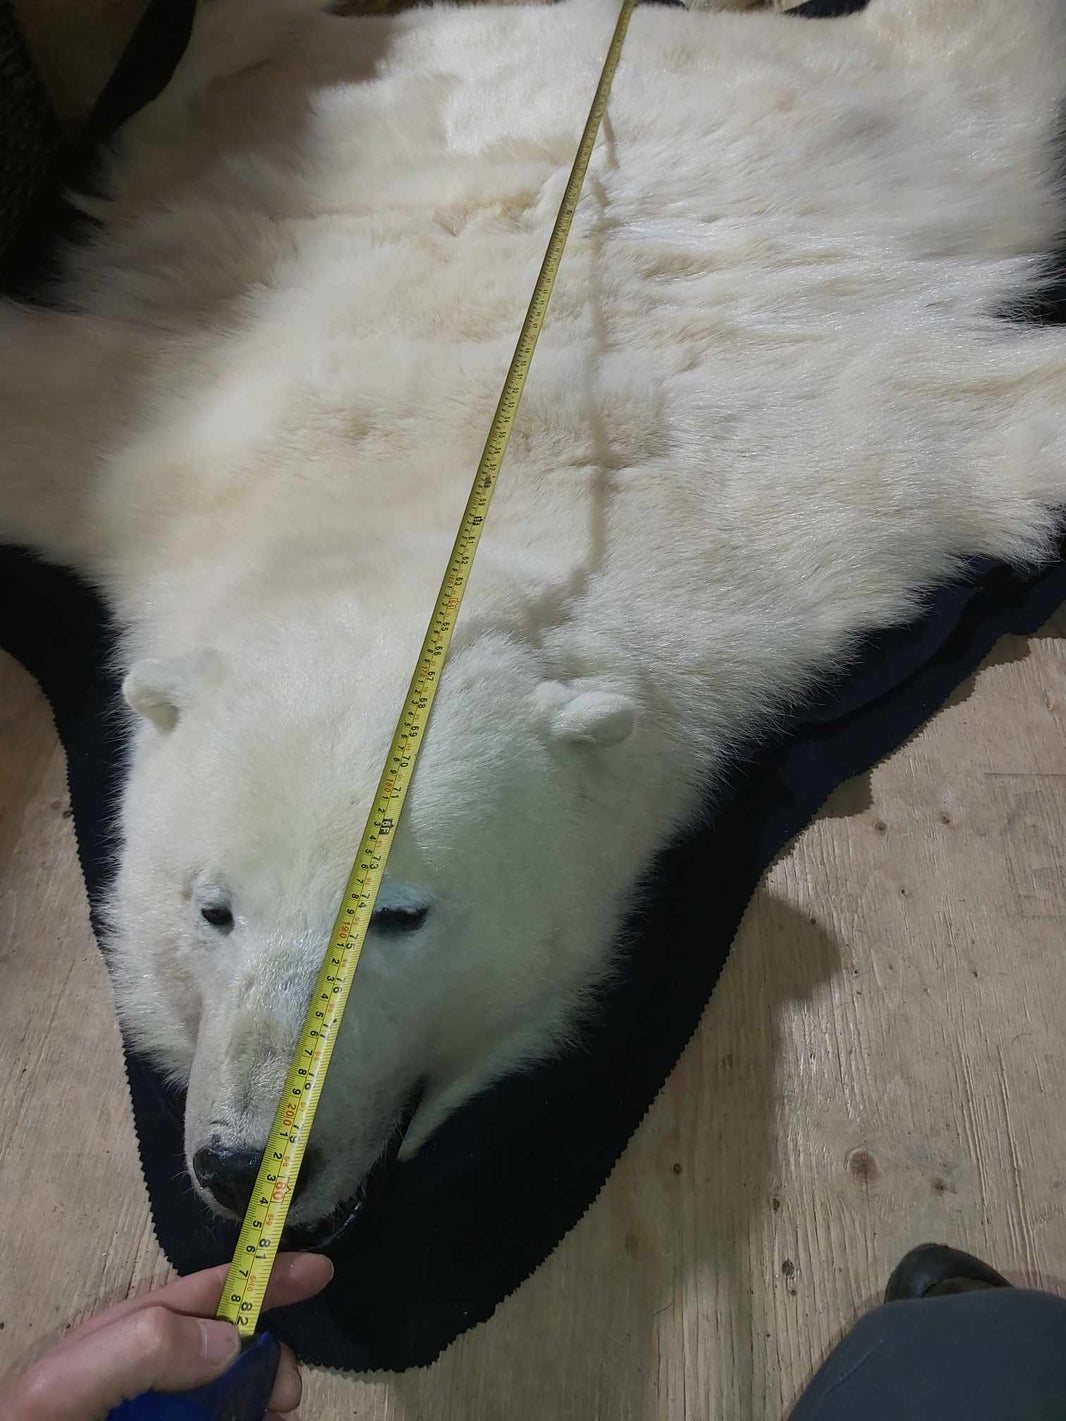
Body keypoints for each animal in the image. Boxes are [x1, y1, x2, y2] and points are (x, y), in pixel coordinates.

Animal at [2, 0, 1066, 1240]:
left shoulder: (815, 495)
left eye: (398, 916)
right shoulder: (152, 451)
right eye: (211, 908)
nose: (242, 1164)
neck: (434, 529)